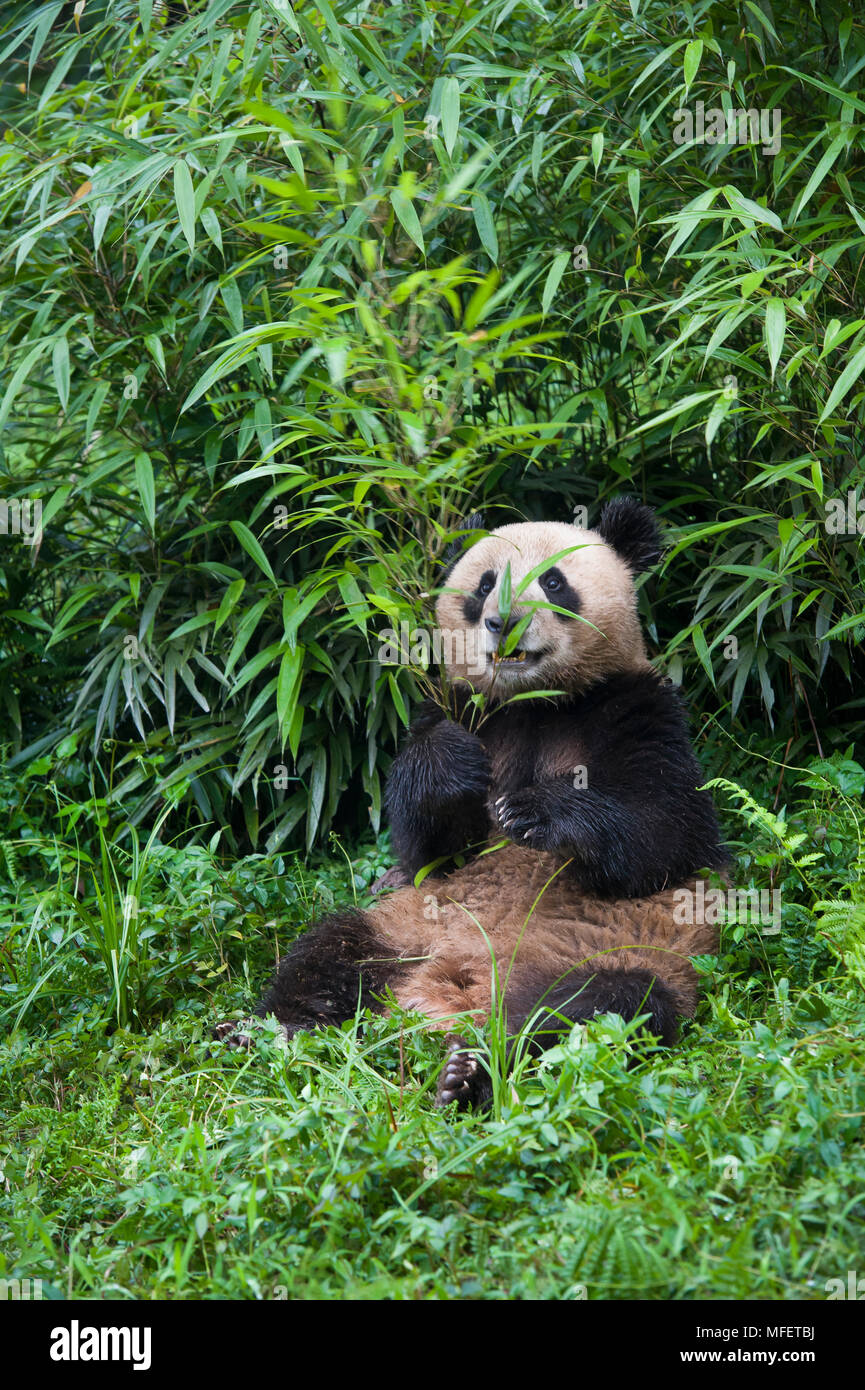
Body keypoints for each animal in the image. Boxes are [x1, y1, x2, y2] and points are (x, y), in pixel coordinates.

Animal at [220, 497, 726, 1110]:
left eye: (553, 581)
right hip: (406, 928)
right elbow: (427, 847)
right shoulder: (457, 708)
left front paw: (536, 813)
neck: (536, 701)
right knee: (328, 953)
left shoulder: (639, 708)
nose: (502, 621)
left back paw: (471, 1072)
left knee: (594, 1012)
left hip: (620, 954)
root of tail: (450, 995)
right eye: (485, 584)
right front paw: (453, 768)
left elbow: (666, 831)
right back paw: (267, 1032)